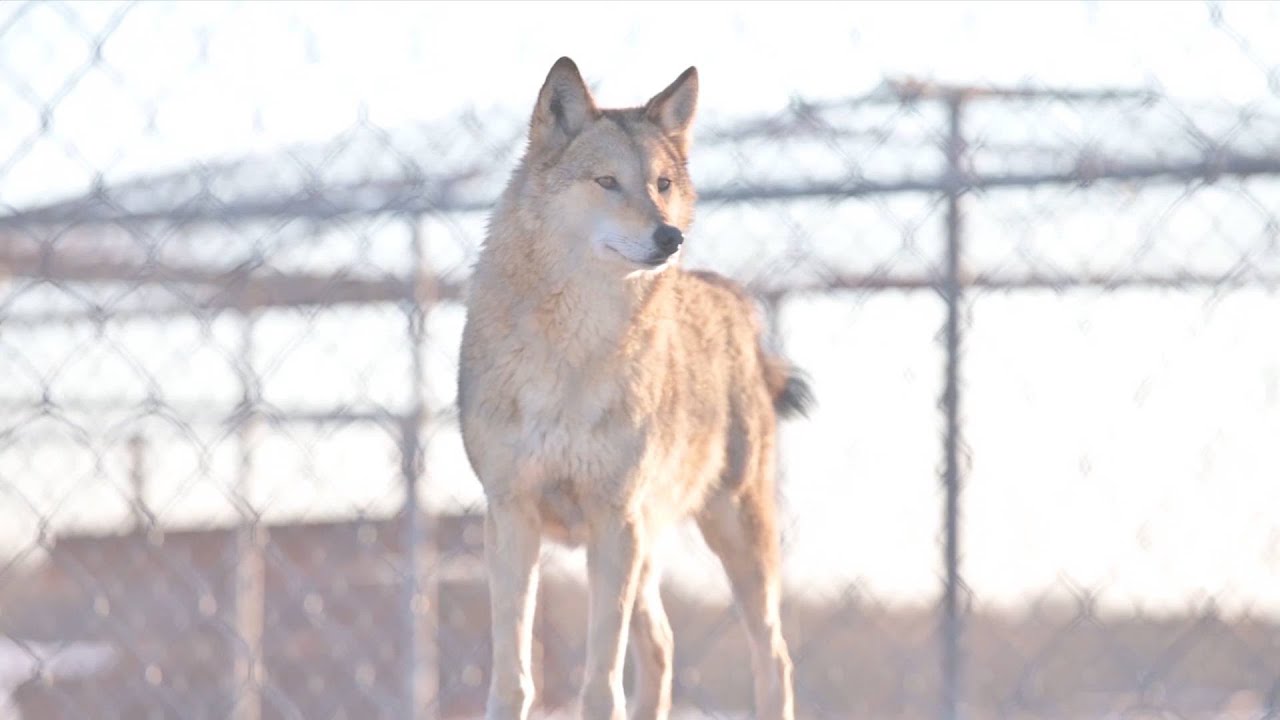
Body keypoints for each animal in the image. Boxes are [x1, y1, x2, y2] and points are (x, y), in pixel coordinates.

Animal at [457, 57, 811, 720]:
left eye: (662, 183)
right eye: (606, 182)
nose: (670, 238)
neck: (572, 352)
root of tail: (726, 293)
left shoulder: (611, 520)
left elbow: (601, 681)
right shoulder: (512, 516)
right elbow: (514, 676)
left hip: (729, 536)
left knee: (774, 656)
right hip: (647, 548)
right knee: (664, 645)